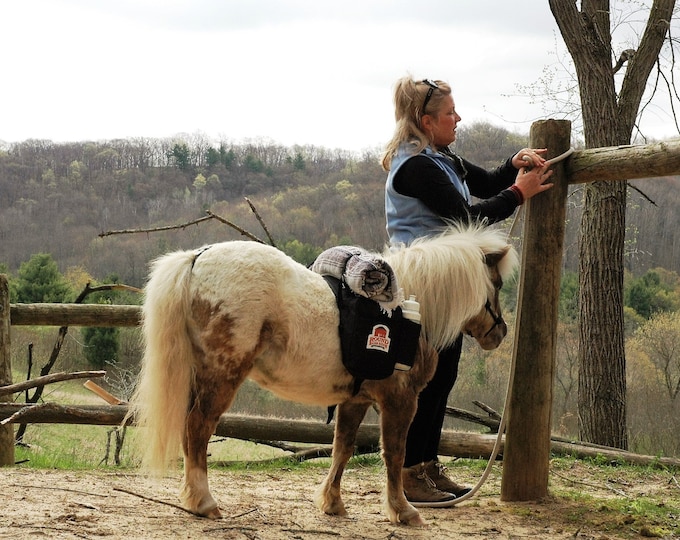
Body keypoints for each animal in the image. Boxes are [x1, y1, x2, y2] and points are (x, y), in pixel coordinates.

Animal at [127, 224, 518, 527]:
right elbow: (394, 453)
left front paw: (333, 503)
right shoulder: (400, 400)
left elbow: (342, 448)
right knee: (197, 429)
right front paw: (403, 510)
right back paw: (204, 502)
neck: (410, 310)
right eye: (497, 284)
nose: (499, 333)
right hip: (222, 377)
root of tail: (198, 257)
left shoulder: (355, 399)